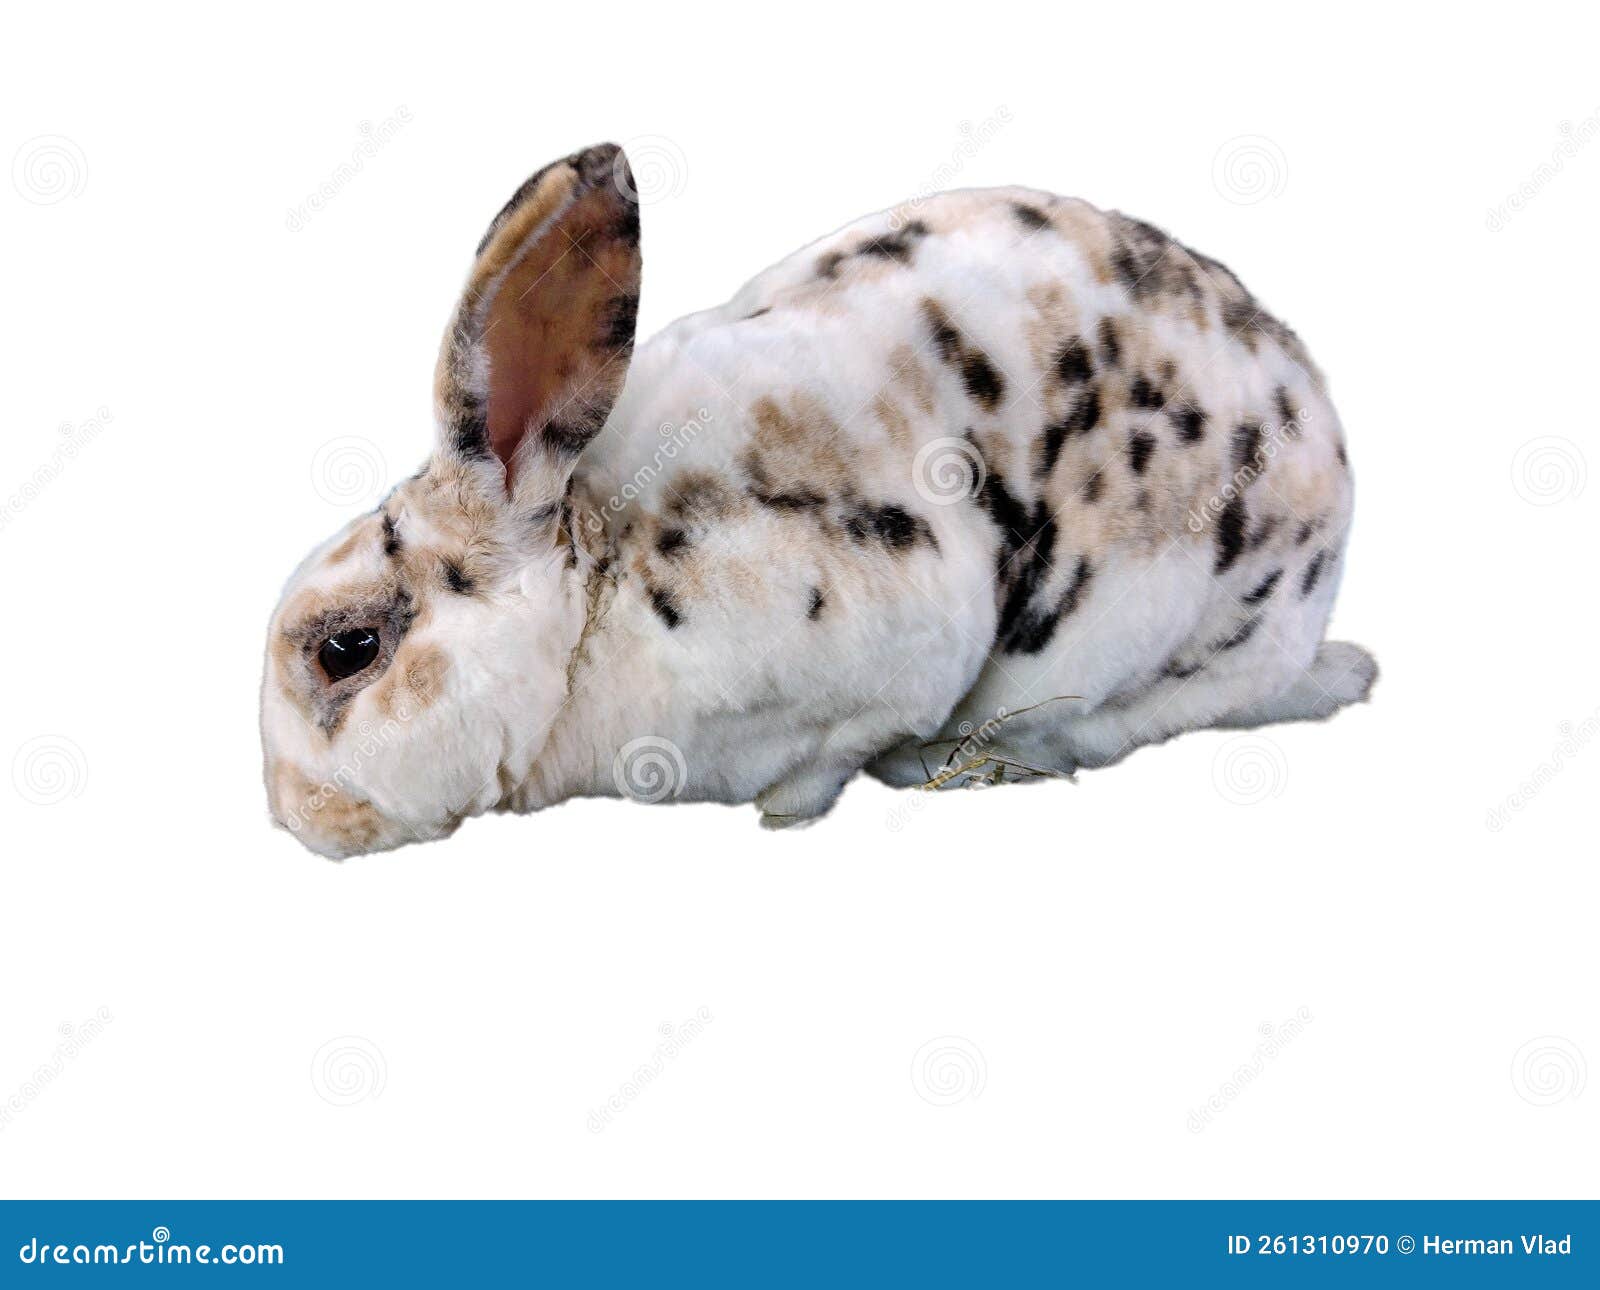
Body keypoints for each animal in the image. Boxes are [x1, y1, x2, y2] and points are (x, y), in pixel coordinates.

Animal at [261, 142, 1376, 858]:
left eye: (347, 649)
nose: (293, 817)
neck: (597, 590)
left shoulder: (888, 661)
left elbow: (826, 761)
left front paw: (786, 814)